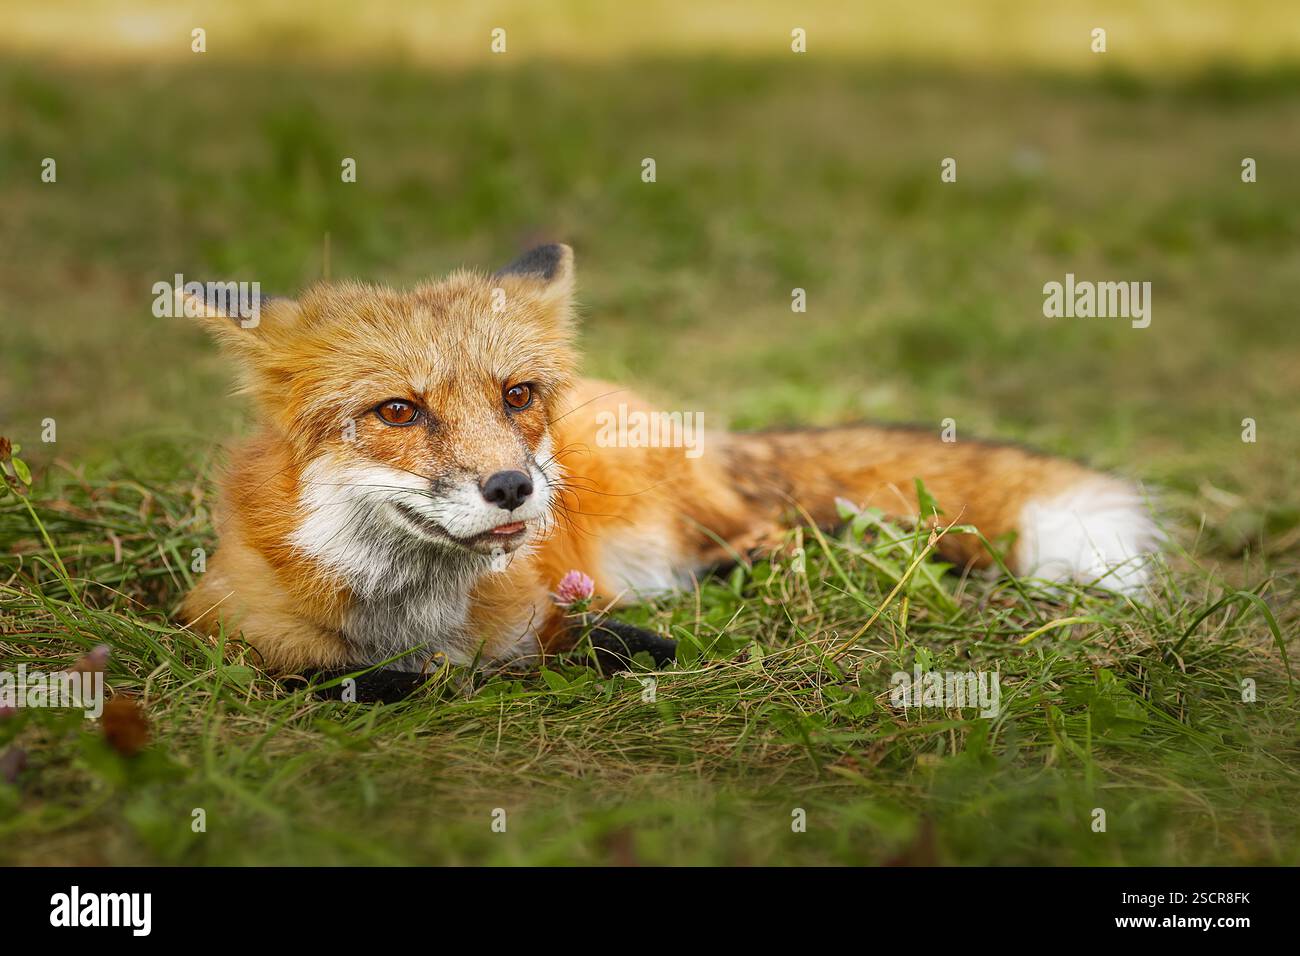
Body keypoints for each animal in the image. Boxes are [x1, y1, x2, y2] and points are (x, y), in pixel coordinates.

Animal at [181, 244, 1160, 696]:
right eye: (397, 412)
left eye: (516, 395)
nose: (514, 487)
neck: (419, 615)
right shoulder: (217, 623)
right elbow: (316, 674)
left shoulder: (548, 608)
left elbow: (588, 645)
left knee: (771, 536)